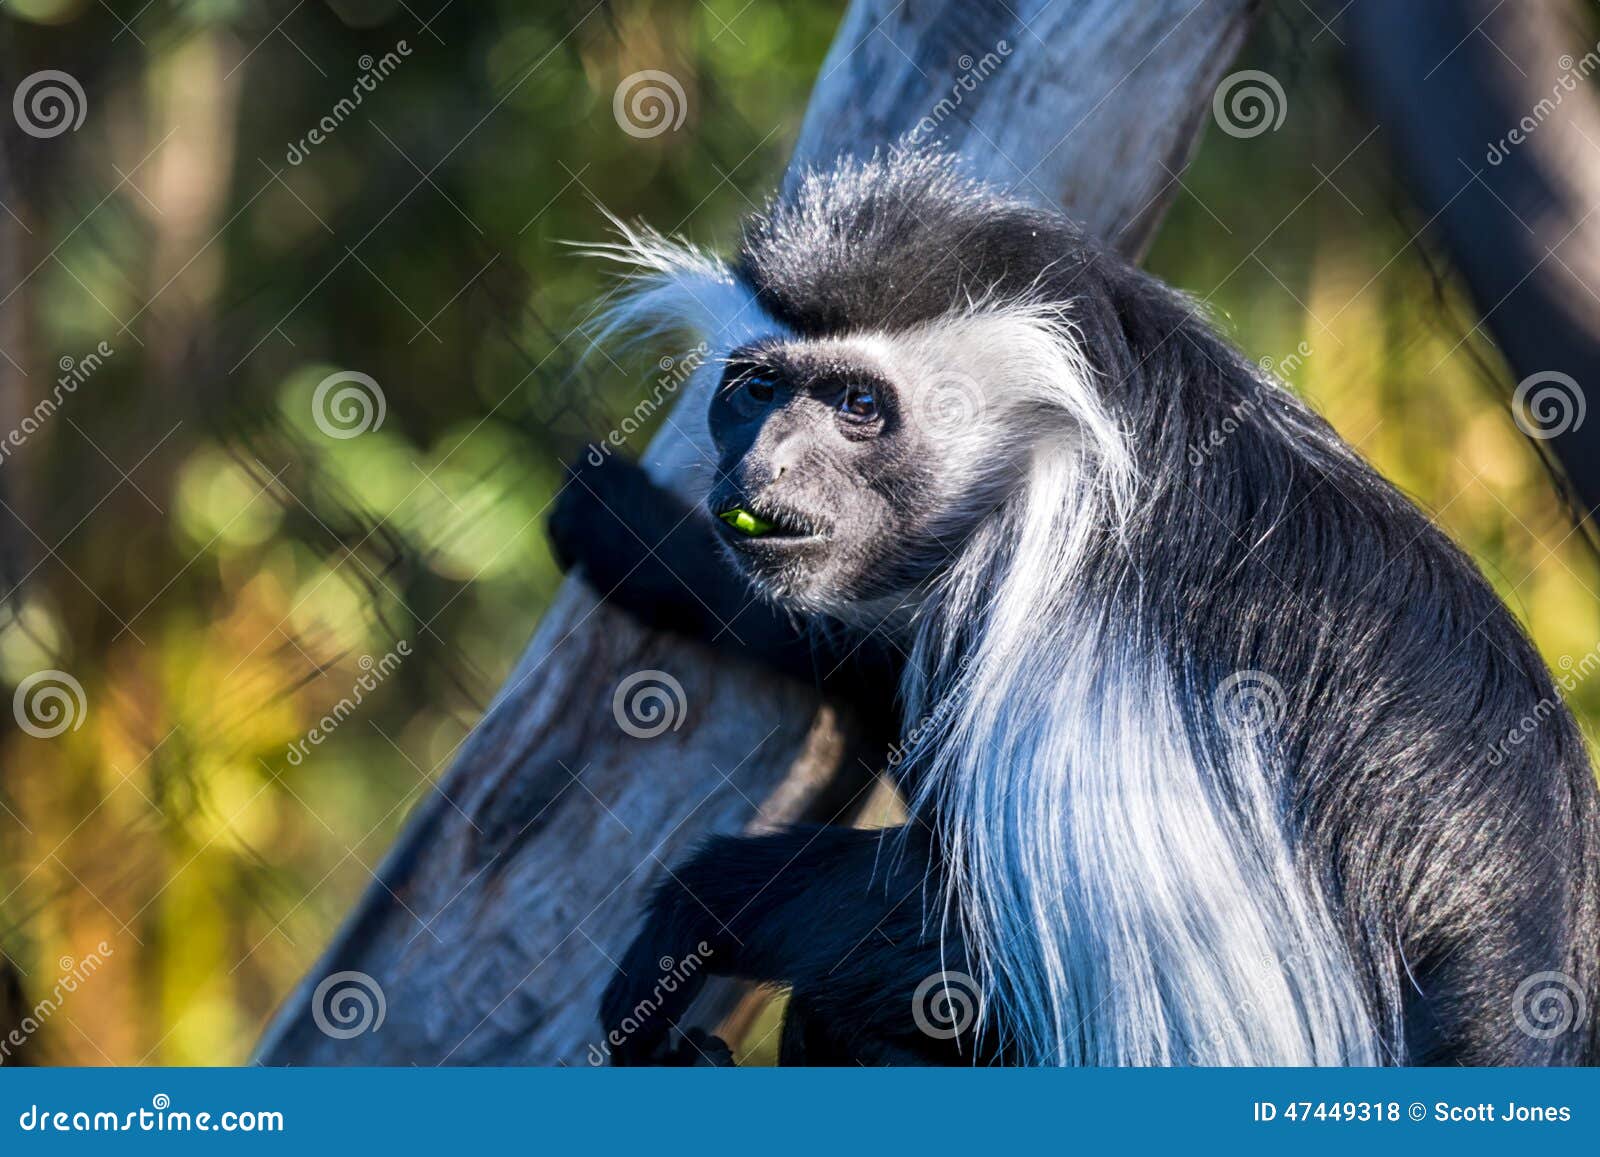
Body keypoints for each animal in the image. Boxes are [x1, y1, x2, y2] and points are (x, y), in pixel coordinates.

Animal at [546, 151, 1600, 1066]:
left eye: (857, 405)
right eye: (758, 389)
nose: (760, 471)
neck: (1087, 427)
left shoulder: (1062, 618)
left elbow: (997, 950)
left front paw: (696, 911)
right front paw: (646, 540)